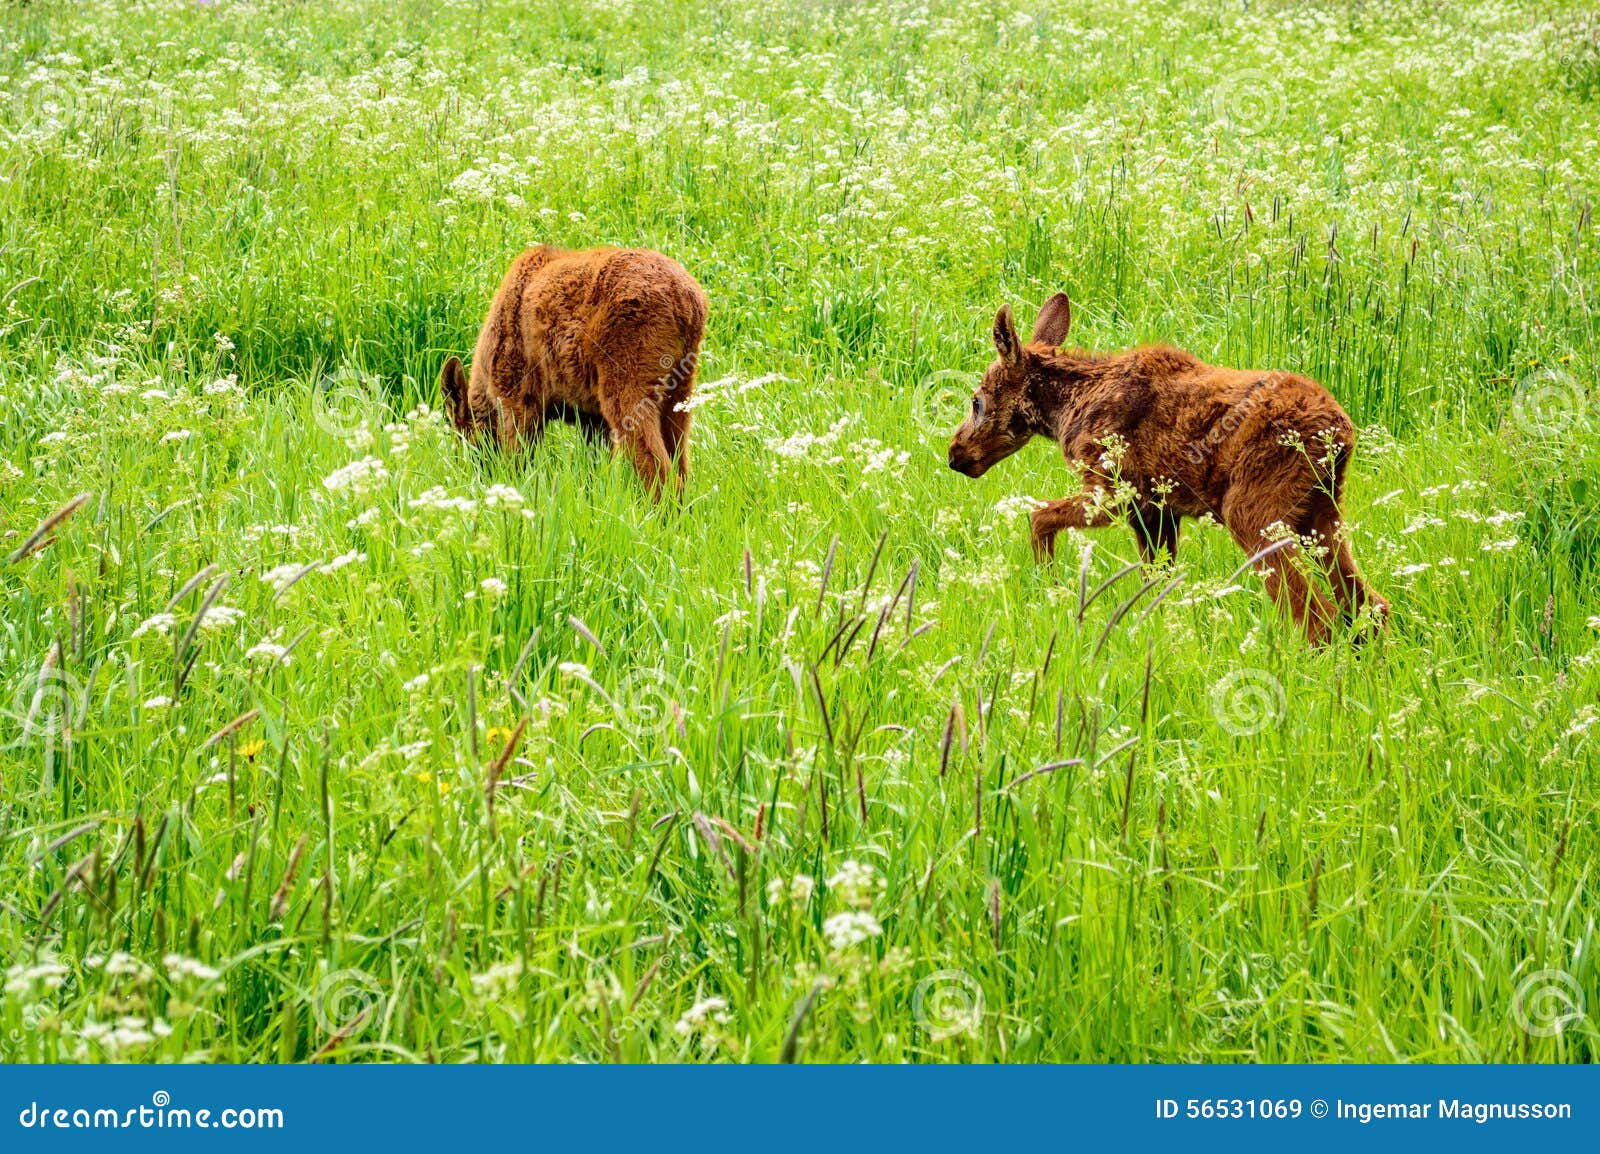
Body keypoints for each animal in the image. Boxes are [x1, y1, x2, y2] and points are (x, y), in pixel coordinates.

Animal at [440, 245, 707, 498]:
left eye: (463, 440)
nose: (477, 476)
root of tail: (688, 303)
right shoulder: (593, 419)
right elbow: (593, 474)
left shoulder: (517, 397)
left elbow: (520, 463)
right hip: (681, 388)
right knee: (682, 468)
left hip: (627, 382)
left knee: (661, 474)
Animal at [946, 292, 1387, 645]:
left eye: (977, 401)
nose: (955, 453)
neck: (1065, 412)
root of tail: (1341, 433)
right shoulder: (1156, 511)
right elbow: (1158, 585)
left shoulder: (1113, 490)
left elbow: (1038, 515)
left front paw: (1048, 586)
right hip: (1321, 510)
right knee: (1370, 604)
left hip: (1252, 508)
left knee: (1317, 616)